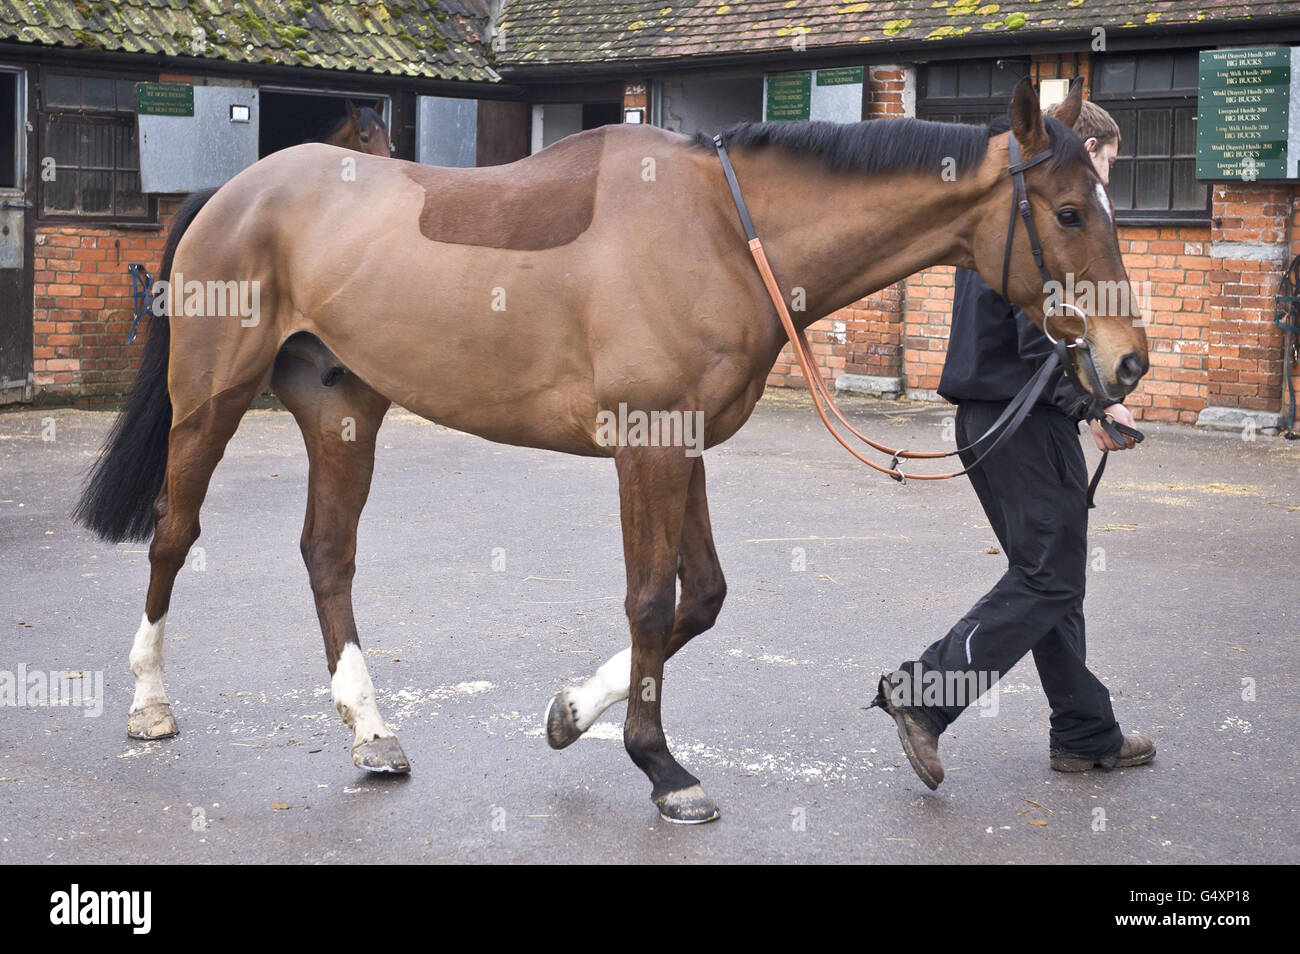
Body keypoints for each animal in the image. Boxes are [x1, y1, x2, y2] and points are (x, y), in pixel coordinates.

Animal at [74, 77, 1147, 824]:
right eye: (1067, 212)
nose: (1127, 360)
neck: (721, 231)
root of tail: (235, 189)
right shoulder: (648, 447)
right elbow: (650, 601)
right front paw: (660, 766)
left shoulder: (685, 445)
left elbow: (701, 597)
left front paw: (571, 712)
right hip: (209, 403)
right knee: (173, 537)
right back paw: (149, 702)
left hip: (344, 413)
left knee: (327, 556)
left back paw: (371, 730)